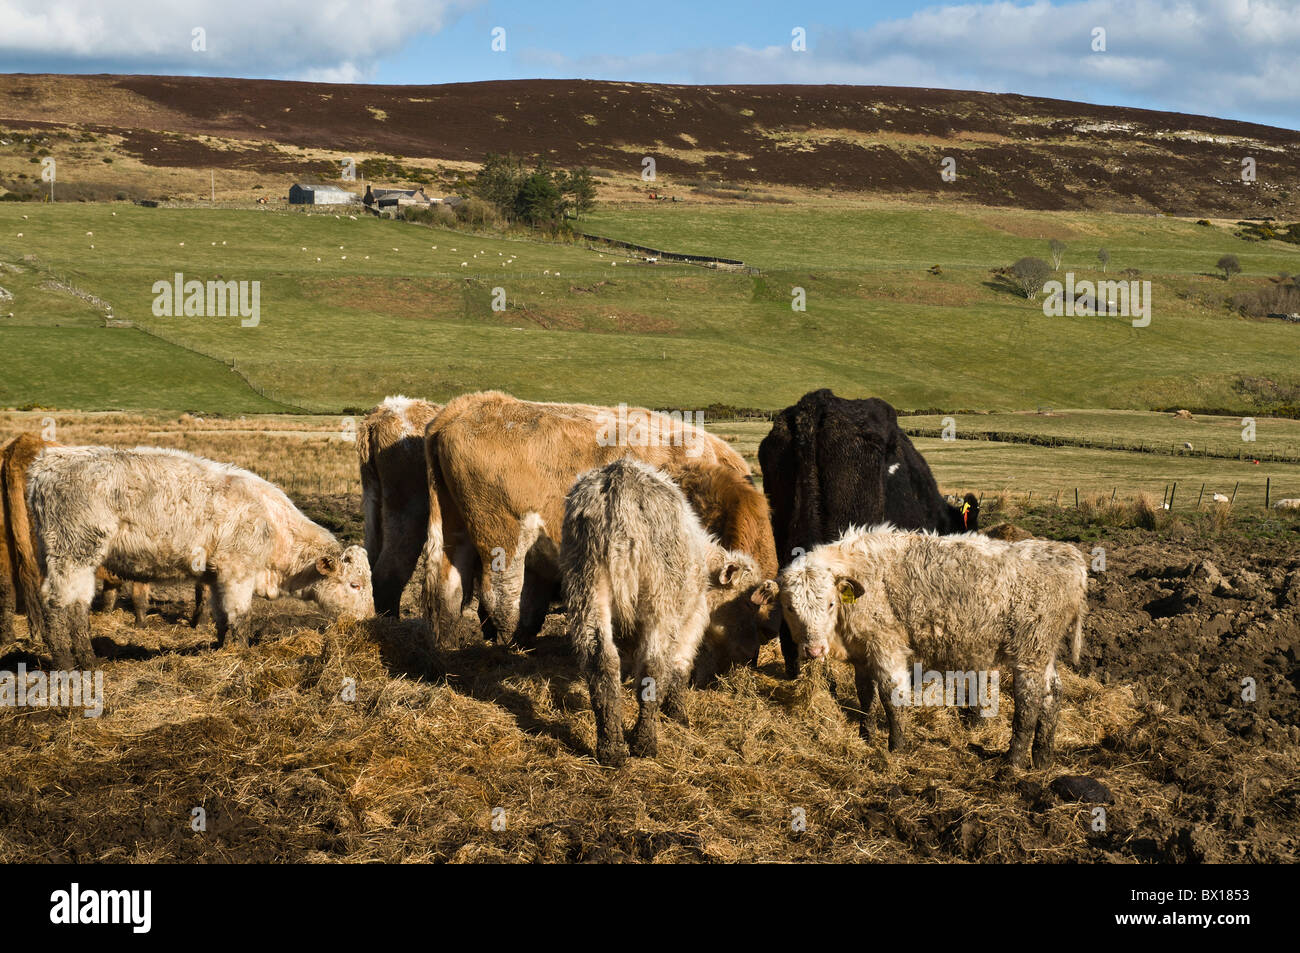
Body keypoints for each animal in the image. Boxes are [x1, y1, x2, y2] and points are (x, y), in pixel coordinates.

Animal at [18, 443, 373, 668]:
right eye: (354, 585)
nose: (370, 620)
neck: (274, 526)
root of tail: (49, 462)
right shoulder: (238, 573)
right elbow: (241, 616)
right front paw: (240, 653)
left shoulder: (217, 577)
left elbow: (222, 616)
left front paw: (220, 647)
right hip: (74, 552)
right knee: (59, 602)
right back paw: (72, 662)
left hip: (59, 554)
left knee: (74, 603)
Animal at [421, 391, 757, 653]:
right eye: (747, 608)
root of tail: (468, 405)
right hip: (503, 540)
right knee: (499, 598)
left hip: (454, 530)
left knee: (447, 589)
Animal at [563, 459, 765, 766]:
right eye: (747, 603)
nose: (751, 654)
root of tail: (621, 478)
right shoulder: (693, 617)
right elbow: (681, 665)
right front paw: (678, 712)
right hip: (660, 601)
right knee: (654, 666)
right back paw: (644, 742)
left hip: (588, 588)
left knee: (602, 660)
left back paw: (611, 747)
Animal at [768, 525, 1087, 769]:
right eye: (790, 608)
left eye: (830, 604)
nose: (813, 651)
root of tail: (1069, 556)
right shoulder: (863, 653)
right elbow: (865, 696)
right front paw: (865, 735)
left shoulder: (887, 646)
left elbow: (891, 697)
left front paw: (896, 746)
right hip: (1044, 652)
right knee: (1052, 694)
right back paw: (1043, 757)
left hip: (1030, 650)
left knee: (1029, 701)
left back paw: (1013, 761)